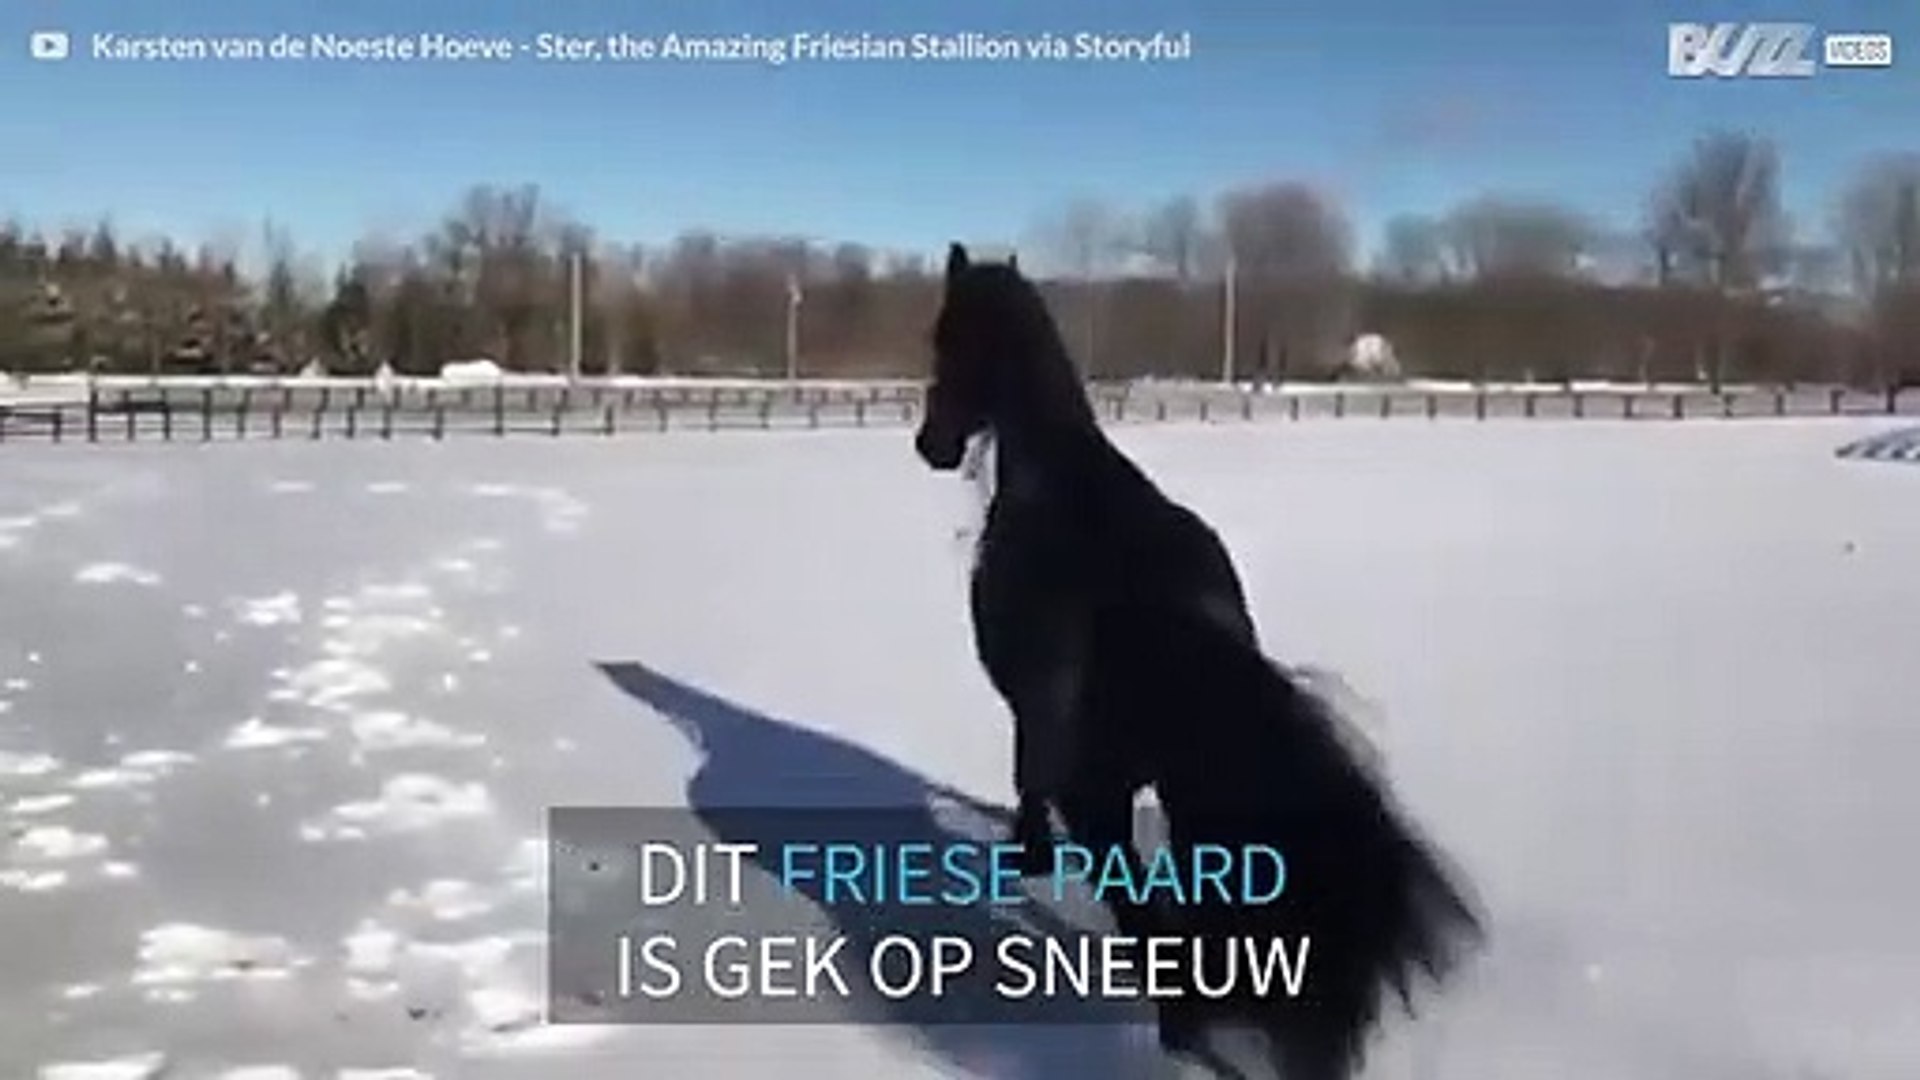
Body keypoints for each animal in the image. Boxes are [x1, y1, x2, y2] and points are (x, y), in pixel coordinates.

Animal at [913, 242, 1484, 1078]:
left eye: (947, 337)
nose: (933, 444)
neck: (1058, 478)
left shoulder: (1028, 712)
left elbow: (1026, 779)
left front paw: (1027, 854)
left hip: (1106, 793)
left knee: (1143, 908)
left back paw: (1179, 1033)